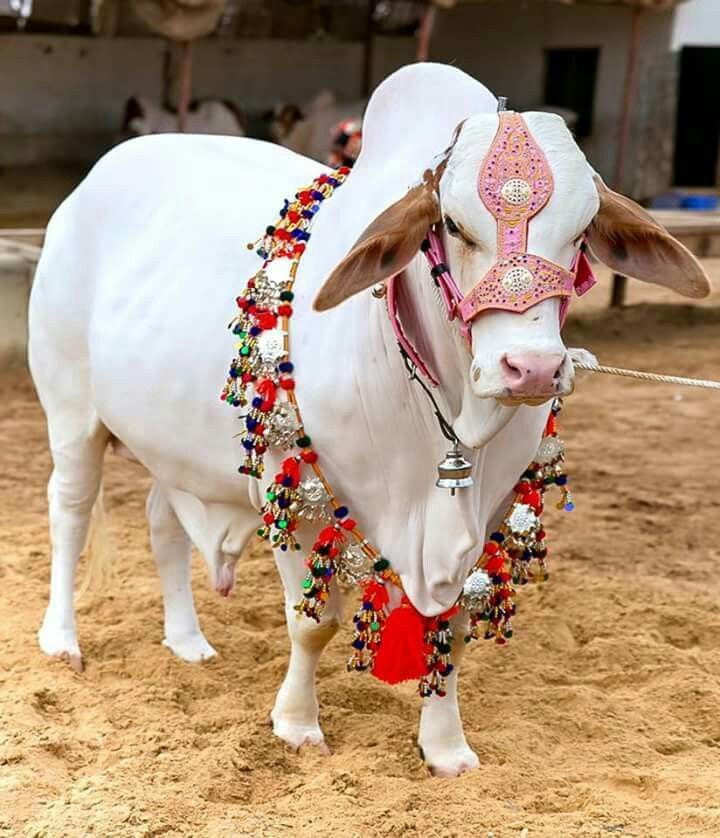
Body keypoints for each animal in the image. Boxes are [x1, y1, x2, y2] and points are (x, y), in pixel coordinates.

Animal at [29, 63, 709, 776]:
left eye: (582, 231)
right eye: (454, 226)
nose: (531, 369)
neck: (448, 418)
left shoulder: (487, 510)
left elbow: (451, 630)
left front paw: (446, 747)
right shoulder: (292, 491)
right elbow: (313, 623)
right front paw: (297, 725)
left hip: (178, 448)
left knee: (163, 521)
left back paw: (187, 640)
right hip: (71, 413)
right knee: (70, 510)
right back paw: (62, 637)